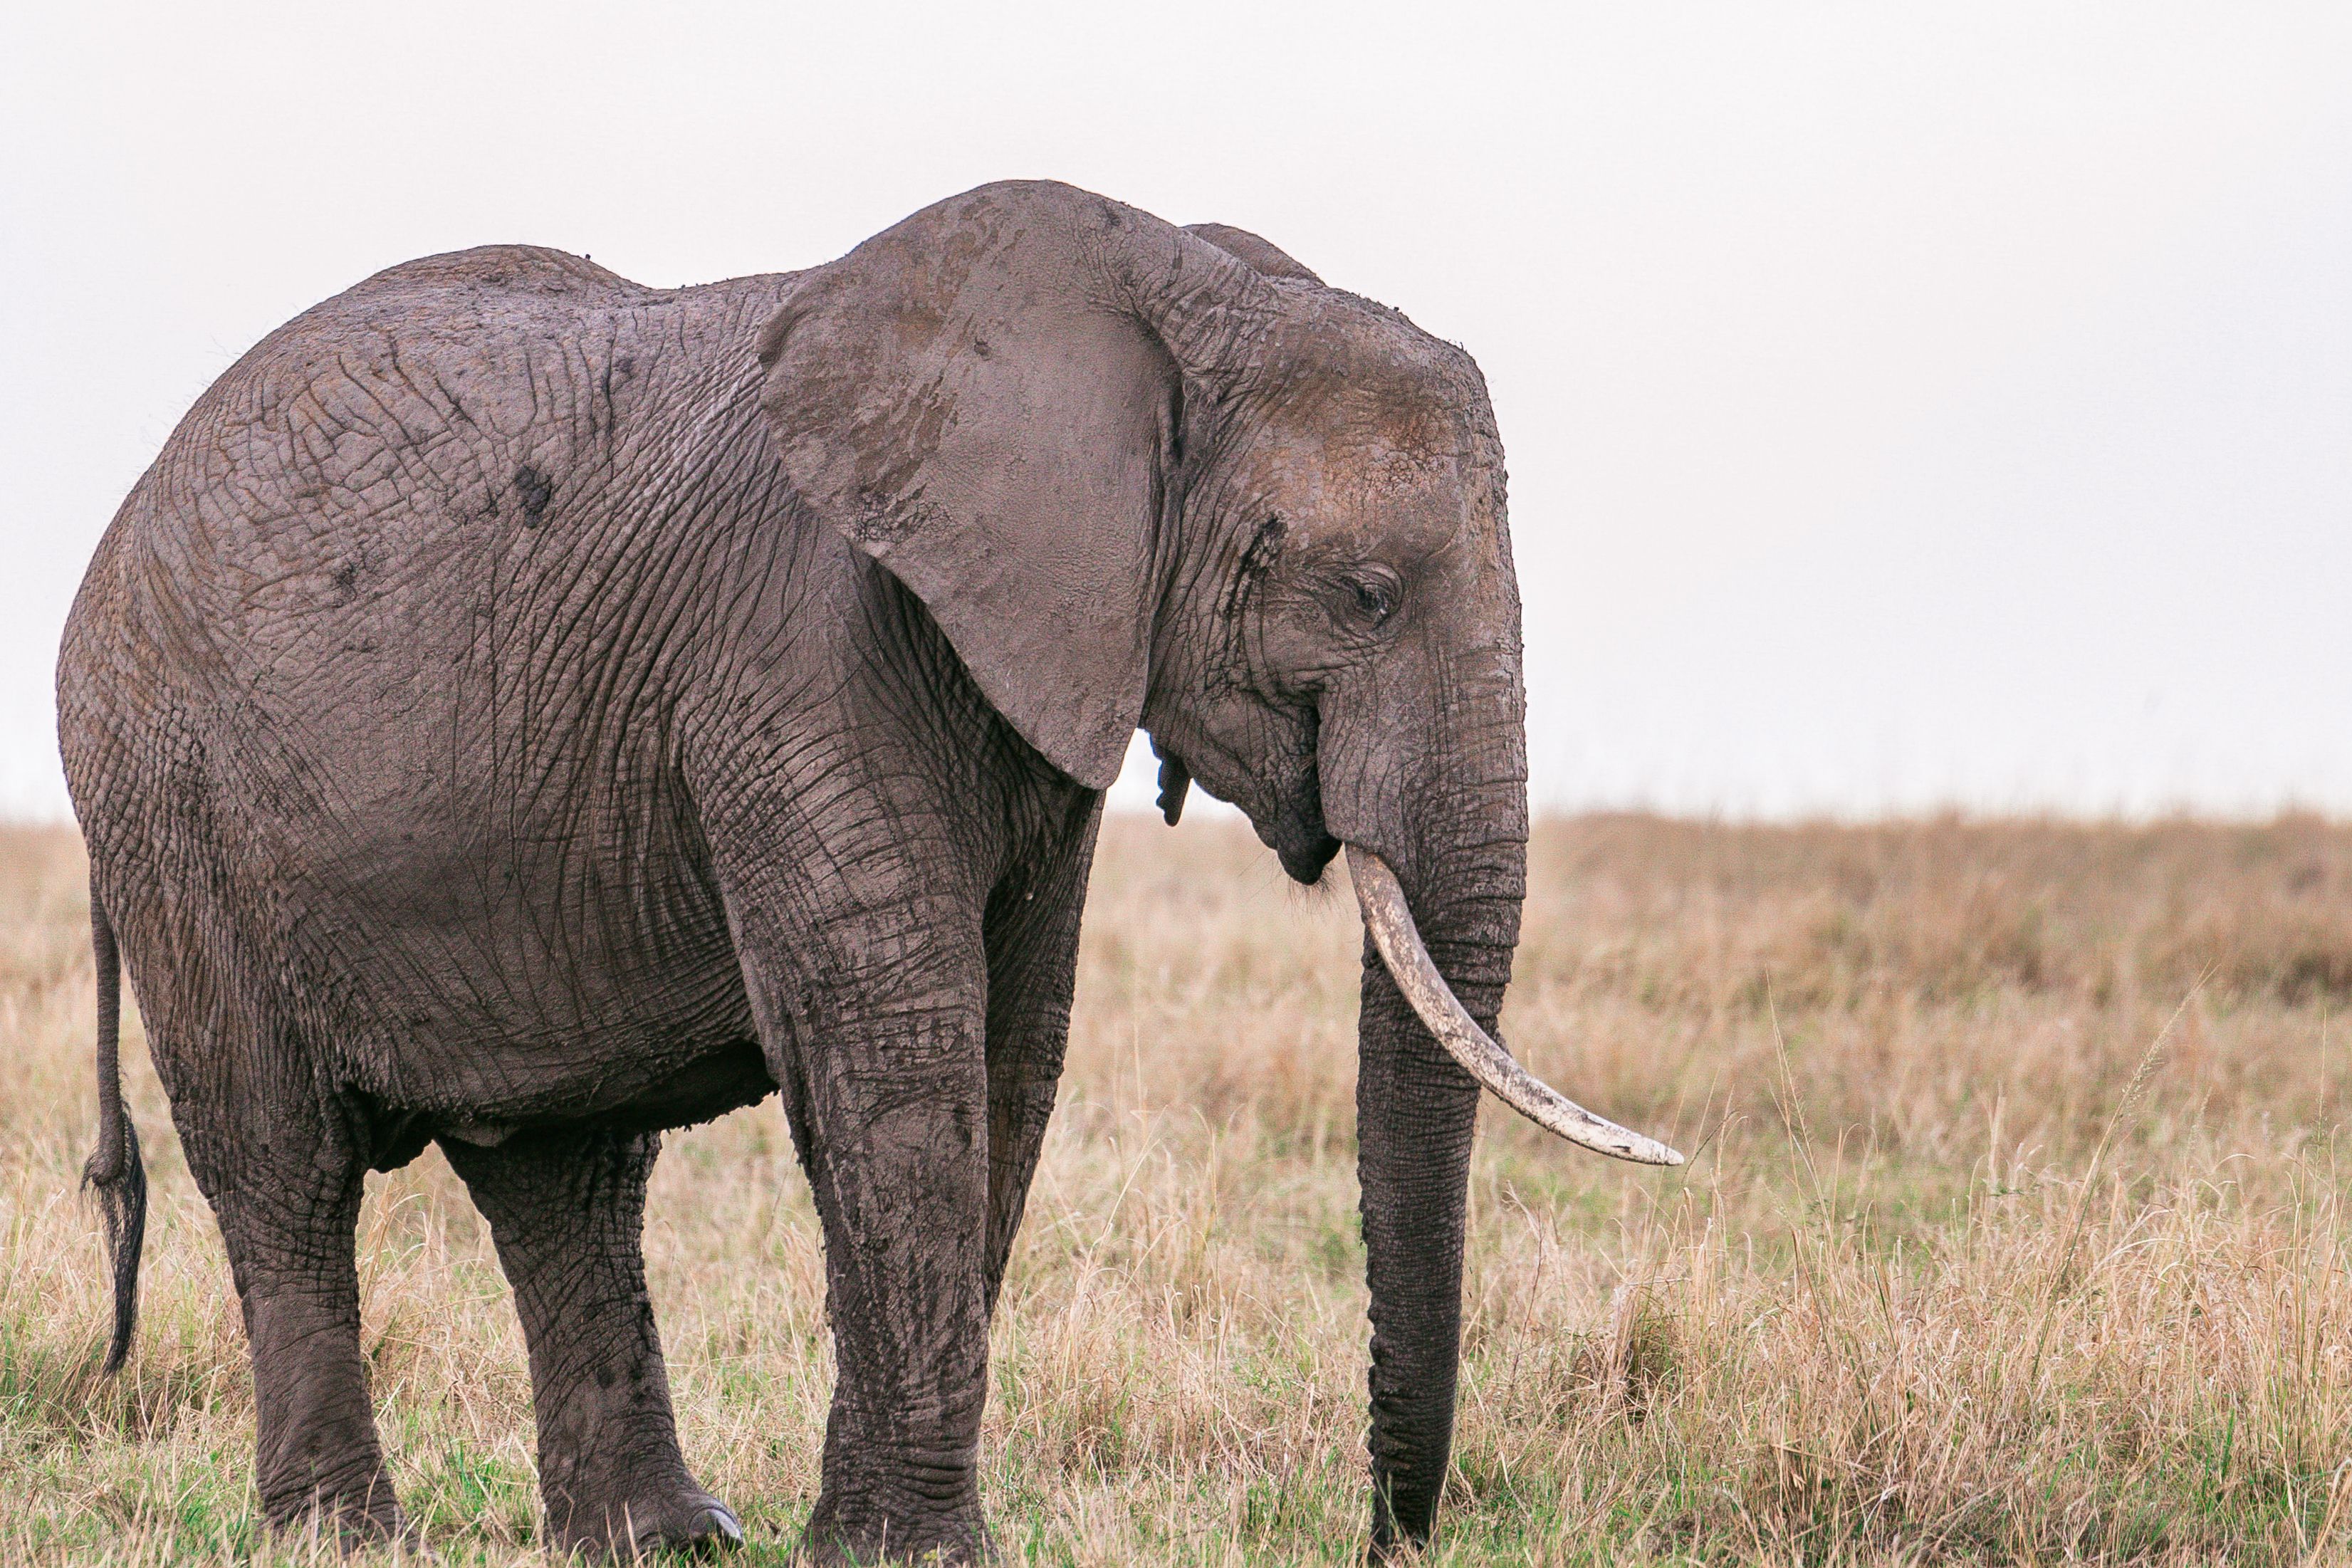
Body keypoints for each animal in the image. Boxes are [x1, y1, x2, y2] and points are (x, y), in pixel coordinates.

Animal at [58, 180, 1680, 1561]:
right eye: (1364, 593)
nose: (1386, 1533)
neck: (1169, 287)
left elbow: (1011, 1053)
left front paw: (860, 1544)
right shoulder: (798, 654)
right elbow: (899, 1052)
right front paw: (912, 1553)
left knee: (566, 1175)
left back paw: (666, 1538)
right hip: (168, 798)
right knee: (283, 1163)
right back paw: (344, 1537)